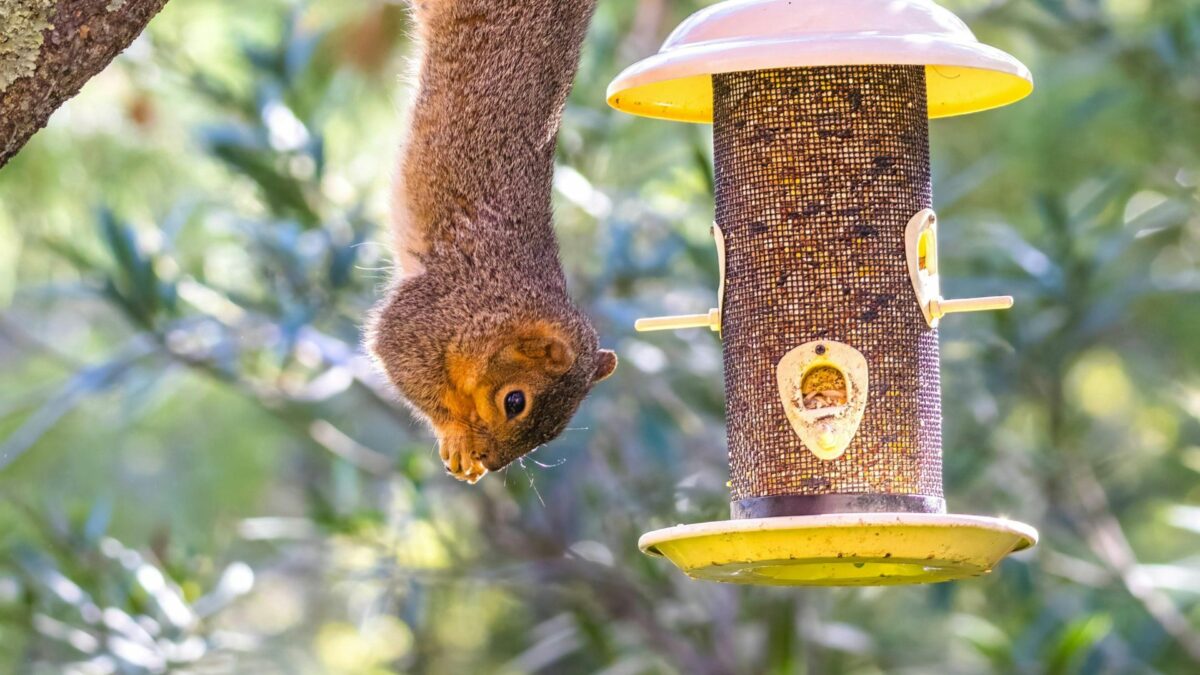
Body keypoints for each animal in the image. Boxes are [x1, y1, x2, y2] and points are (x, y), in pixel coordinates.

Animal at [367, 0, 616, 483]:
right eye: (514, 401)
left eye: (556, 431)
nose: (494, 462)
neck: (502, 301)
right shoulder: (430, 314)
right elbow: (396, 354)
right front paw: (456, 435)